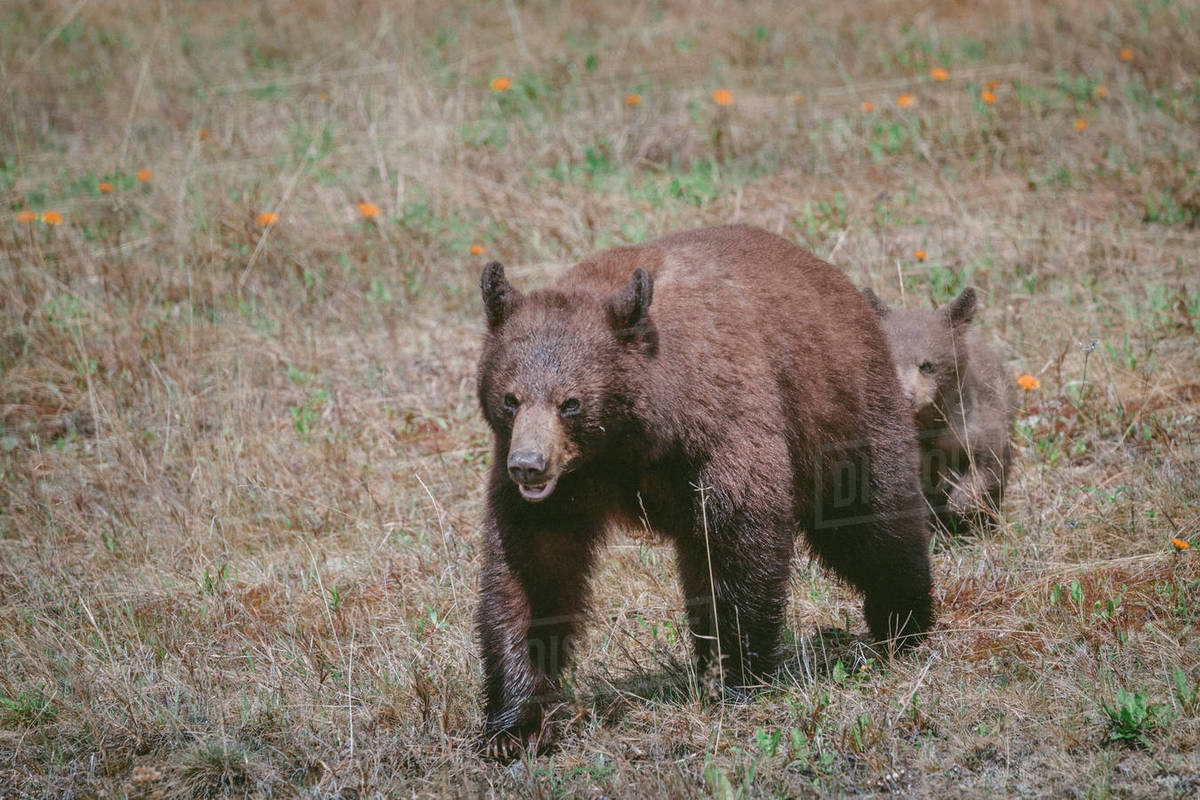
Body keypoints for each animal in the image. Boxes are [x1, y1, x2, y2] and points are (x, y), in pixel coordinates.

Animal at [476, 225, 933, 760]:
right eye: (511, 398)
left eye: (570, 403)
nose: (528, 466)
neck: (632, 438)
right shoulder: (562, 488)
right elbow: (533, 570)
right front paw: (516, 722)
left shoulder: (722, 426)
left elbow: (739, 541)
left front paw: (737, 675)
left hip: (842, 412)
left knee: (873, 522)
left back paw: (903, 621)